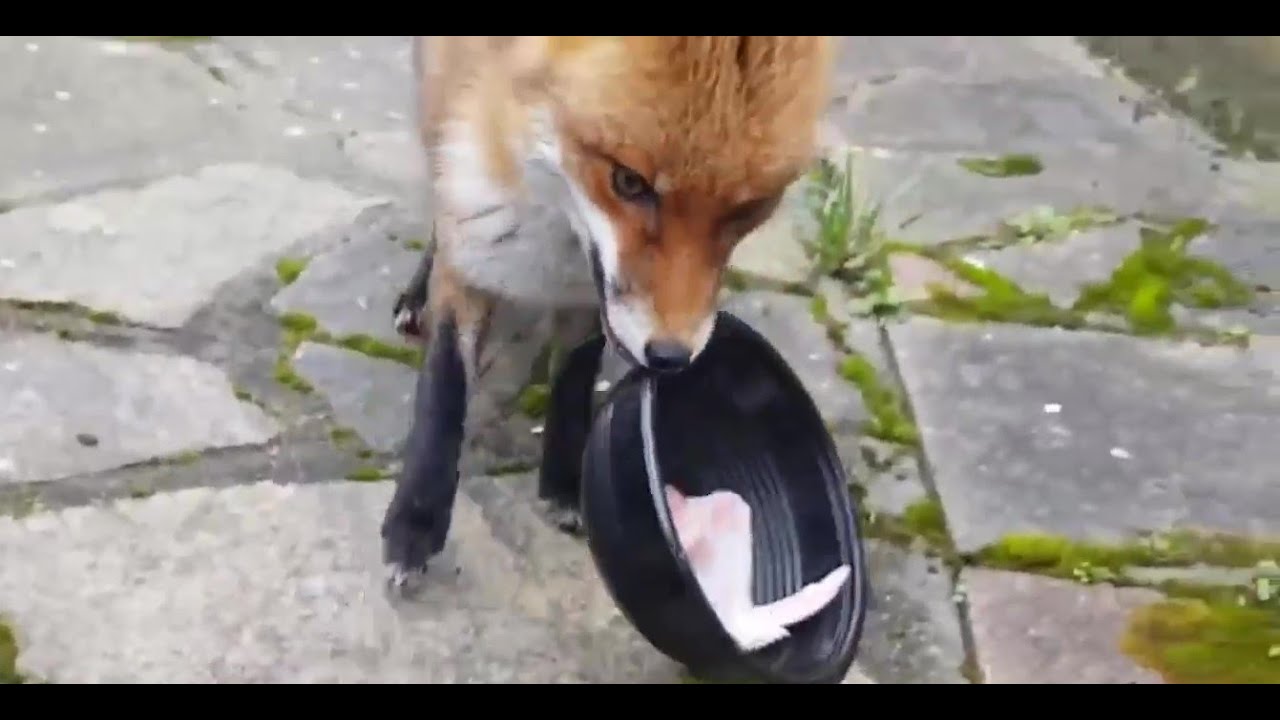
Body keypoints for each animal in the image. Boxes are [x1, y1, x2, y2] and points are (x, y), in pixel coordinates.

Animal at [383, 36, 836, 589]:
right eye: (629, 182)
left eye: (746, 209)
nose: (670, 357)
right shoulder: (468, 226)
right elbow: (443, 391)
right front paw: (415, 522)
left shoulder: (587, 292)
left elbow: (575, 377)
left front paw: (562, 481)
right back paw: (415, 295)